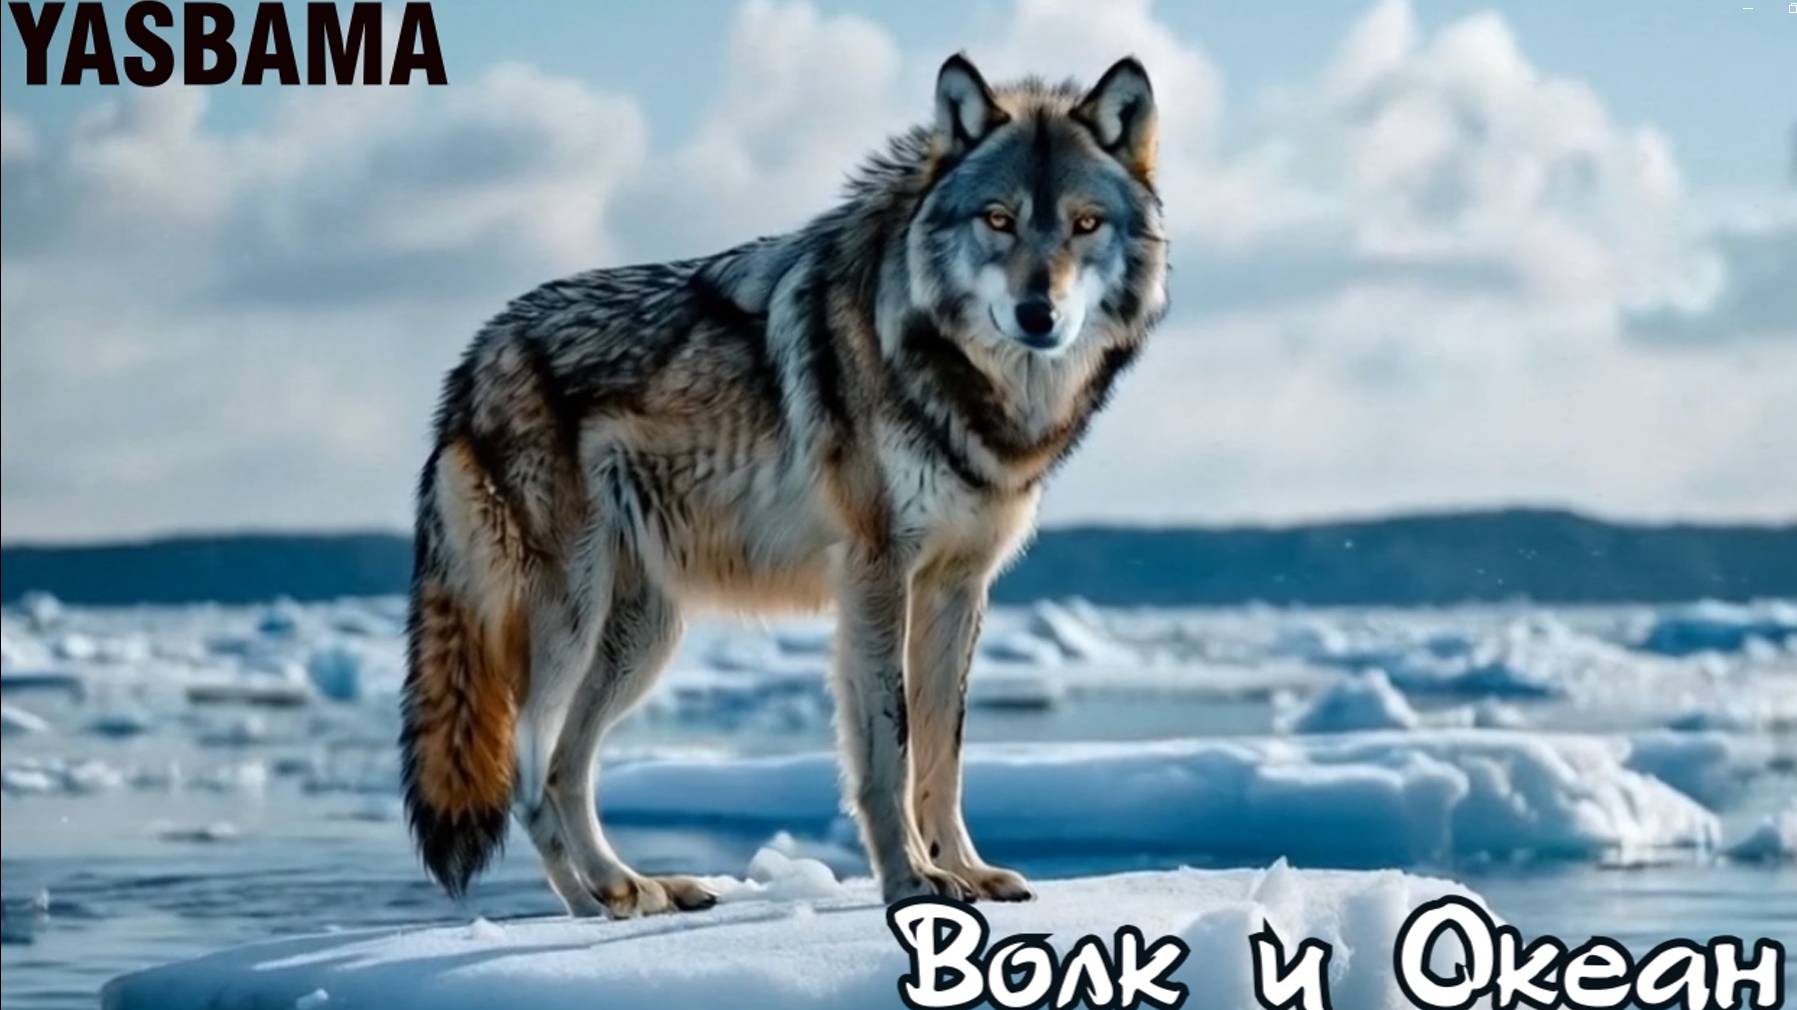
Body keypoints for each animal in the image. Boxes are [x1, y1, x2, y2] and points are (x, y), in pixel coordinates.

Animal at [400, 53, 1168, 917]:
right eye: (998, 220)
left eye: (1083, 224)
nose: (1038, 314)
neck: (957, 380)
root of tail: (472, 361)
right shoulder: (877, 573)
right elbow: (890, 751)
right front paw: (911, 881)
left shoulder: (958, 585)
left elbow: (943, 751)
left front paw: (966, 871)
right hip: (571, 618)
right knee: (529, 773)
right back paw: (599, 897)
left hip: (640, 637)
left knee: (566, 766)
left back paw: (630, 889)